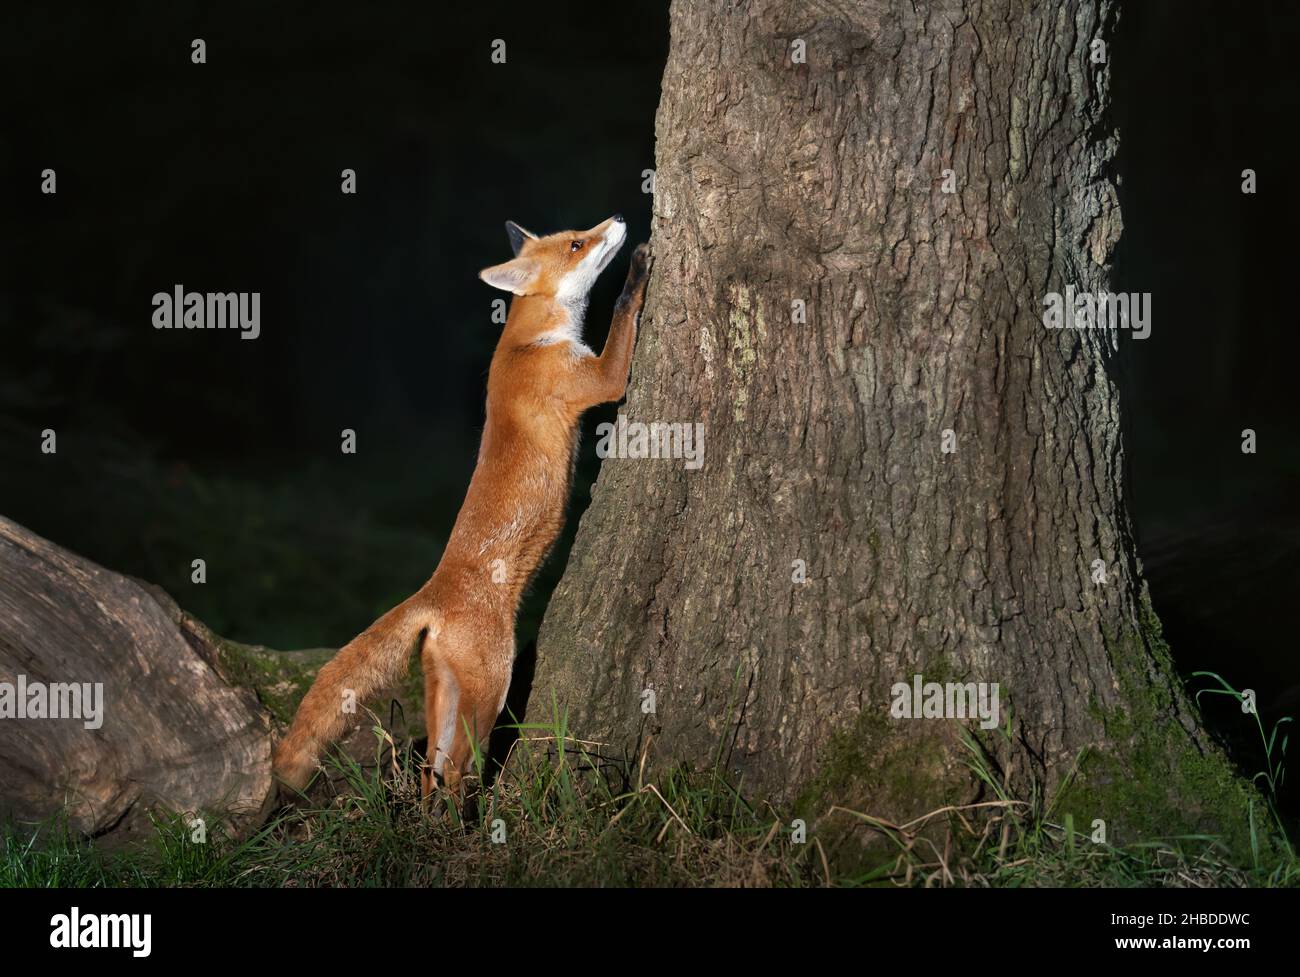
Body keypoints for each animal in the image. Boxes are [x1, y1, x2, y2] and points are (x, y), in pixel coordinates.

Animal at [272, 214, 650, 799]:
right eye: (576, 244)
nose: (618, 219)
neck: (528, 339)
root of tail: (434, 590)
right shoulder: (600, 378)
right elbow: (623, 312)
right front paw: (638, 266)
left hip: (444, 695)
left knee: (433, 768)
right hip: (492, 686)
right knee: (455, 767)